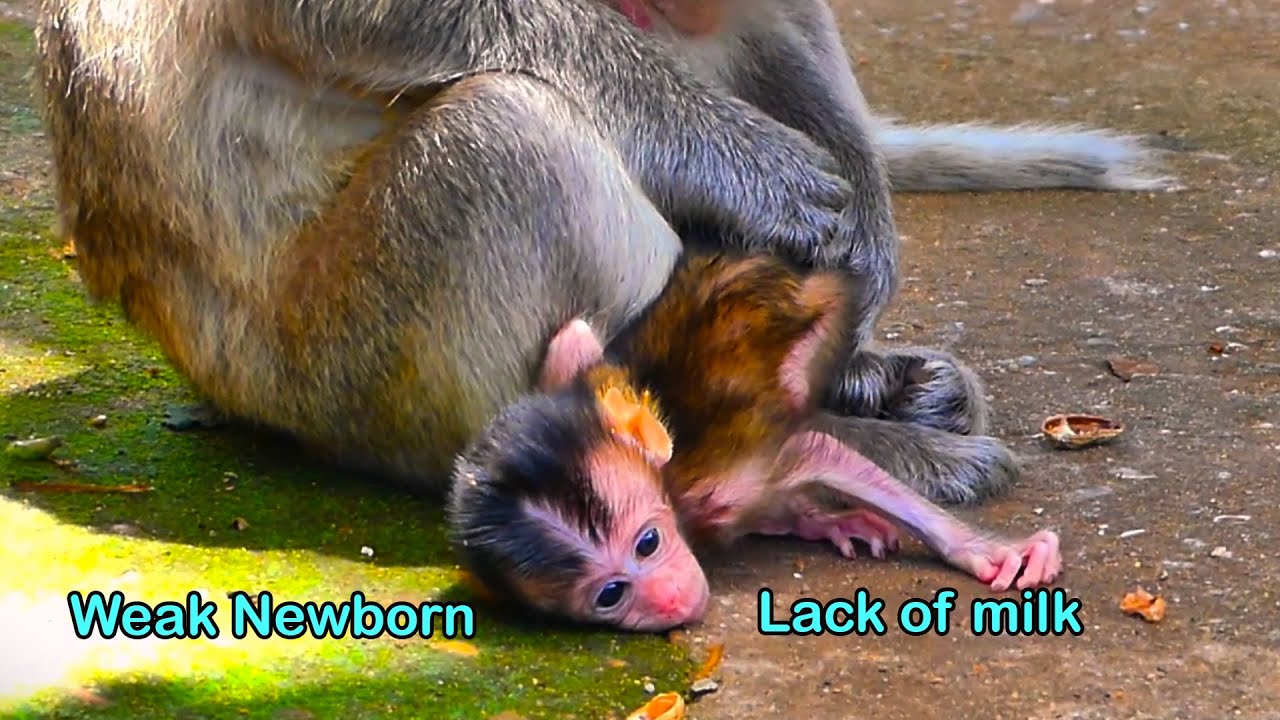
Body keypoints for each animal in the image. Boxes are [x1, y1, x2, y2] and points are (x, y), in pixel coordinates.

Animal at [448, 249, 1060, 632]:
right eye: (610, 594)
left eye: (648, 543)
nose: (669, 598)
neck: (671, 488)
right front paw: (821, 522)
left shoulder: (719, 479)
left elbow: (811, 451)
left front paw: (987, 553)